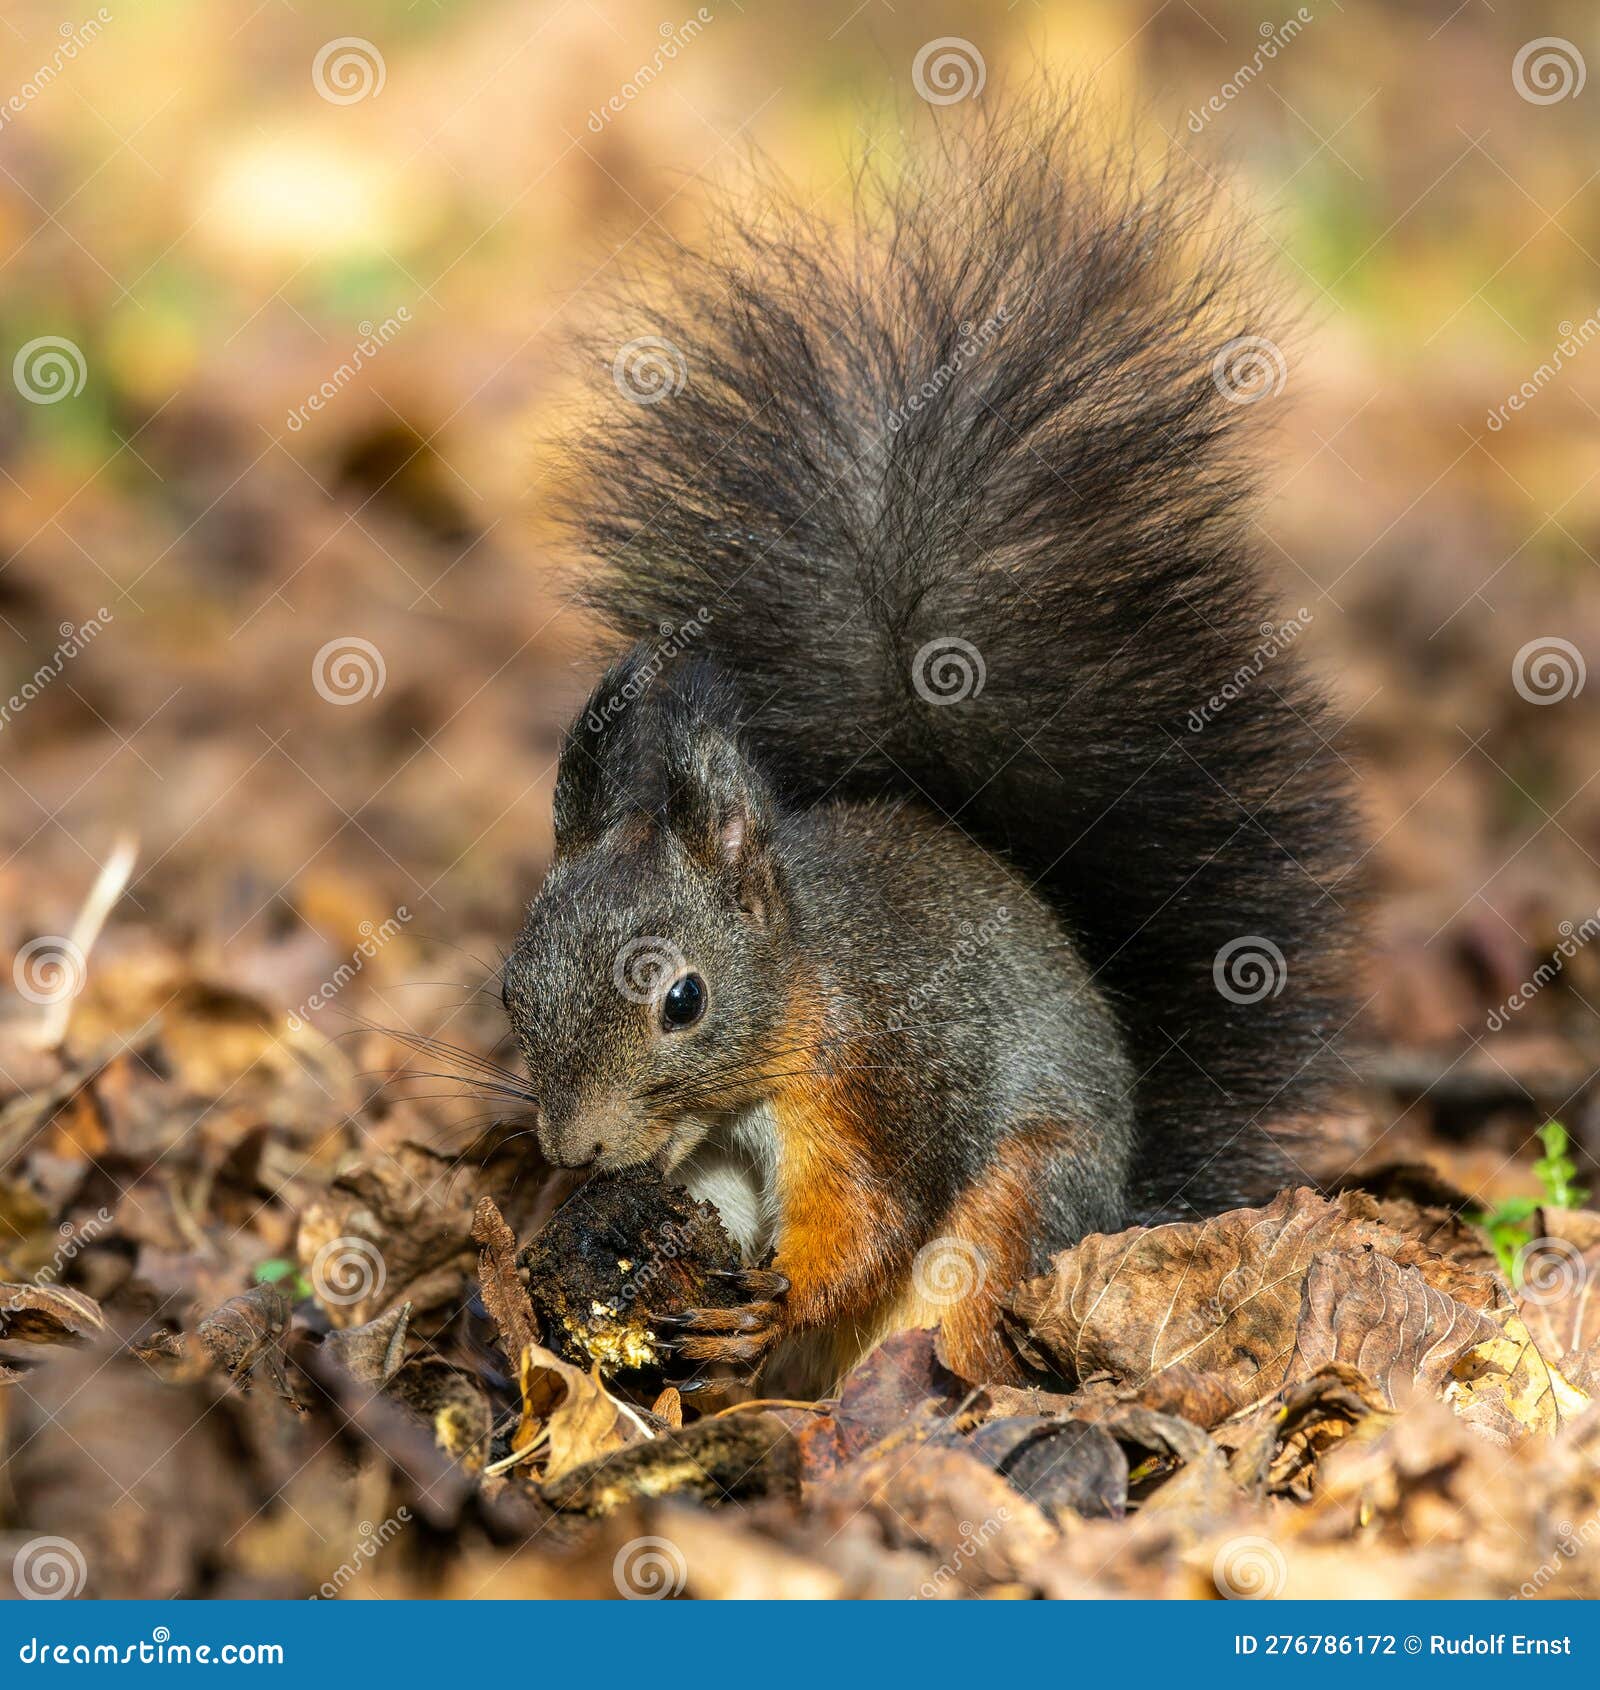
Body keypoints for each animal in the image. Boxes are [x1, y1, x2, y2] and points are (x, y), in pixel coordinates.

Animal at [501, 110, 1358, 1395]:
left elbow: (873, 1215)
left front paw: (763, 1307)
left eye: (684, 1000)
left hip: (1014, 1216)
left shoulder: (879, 1075)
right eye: (511, 989)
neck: (794, 1003)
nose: (575, 1148)